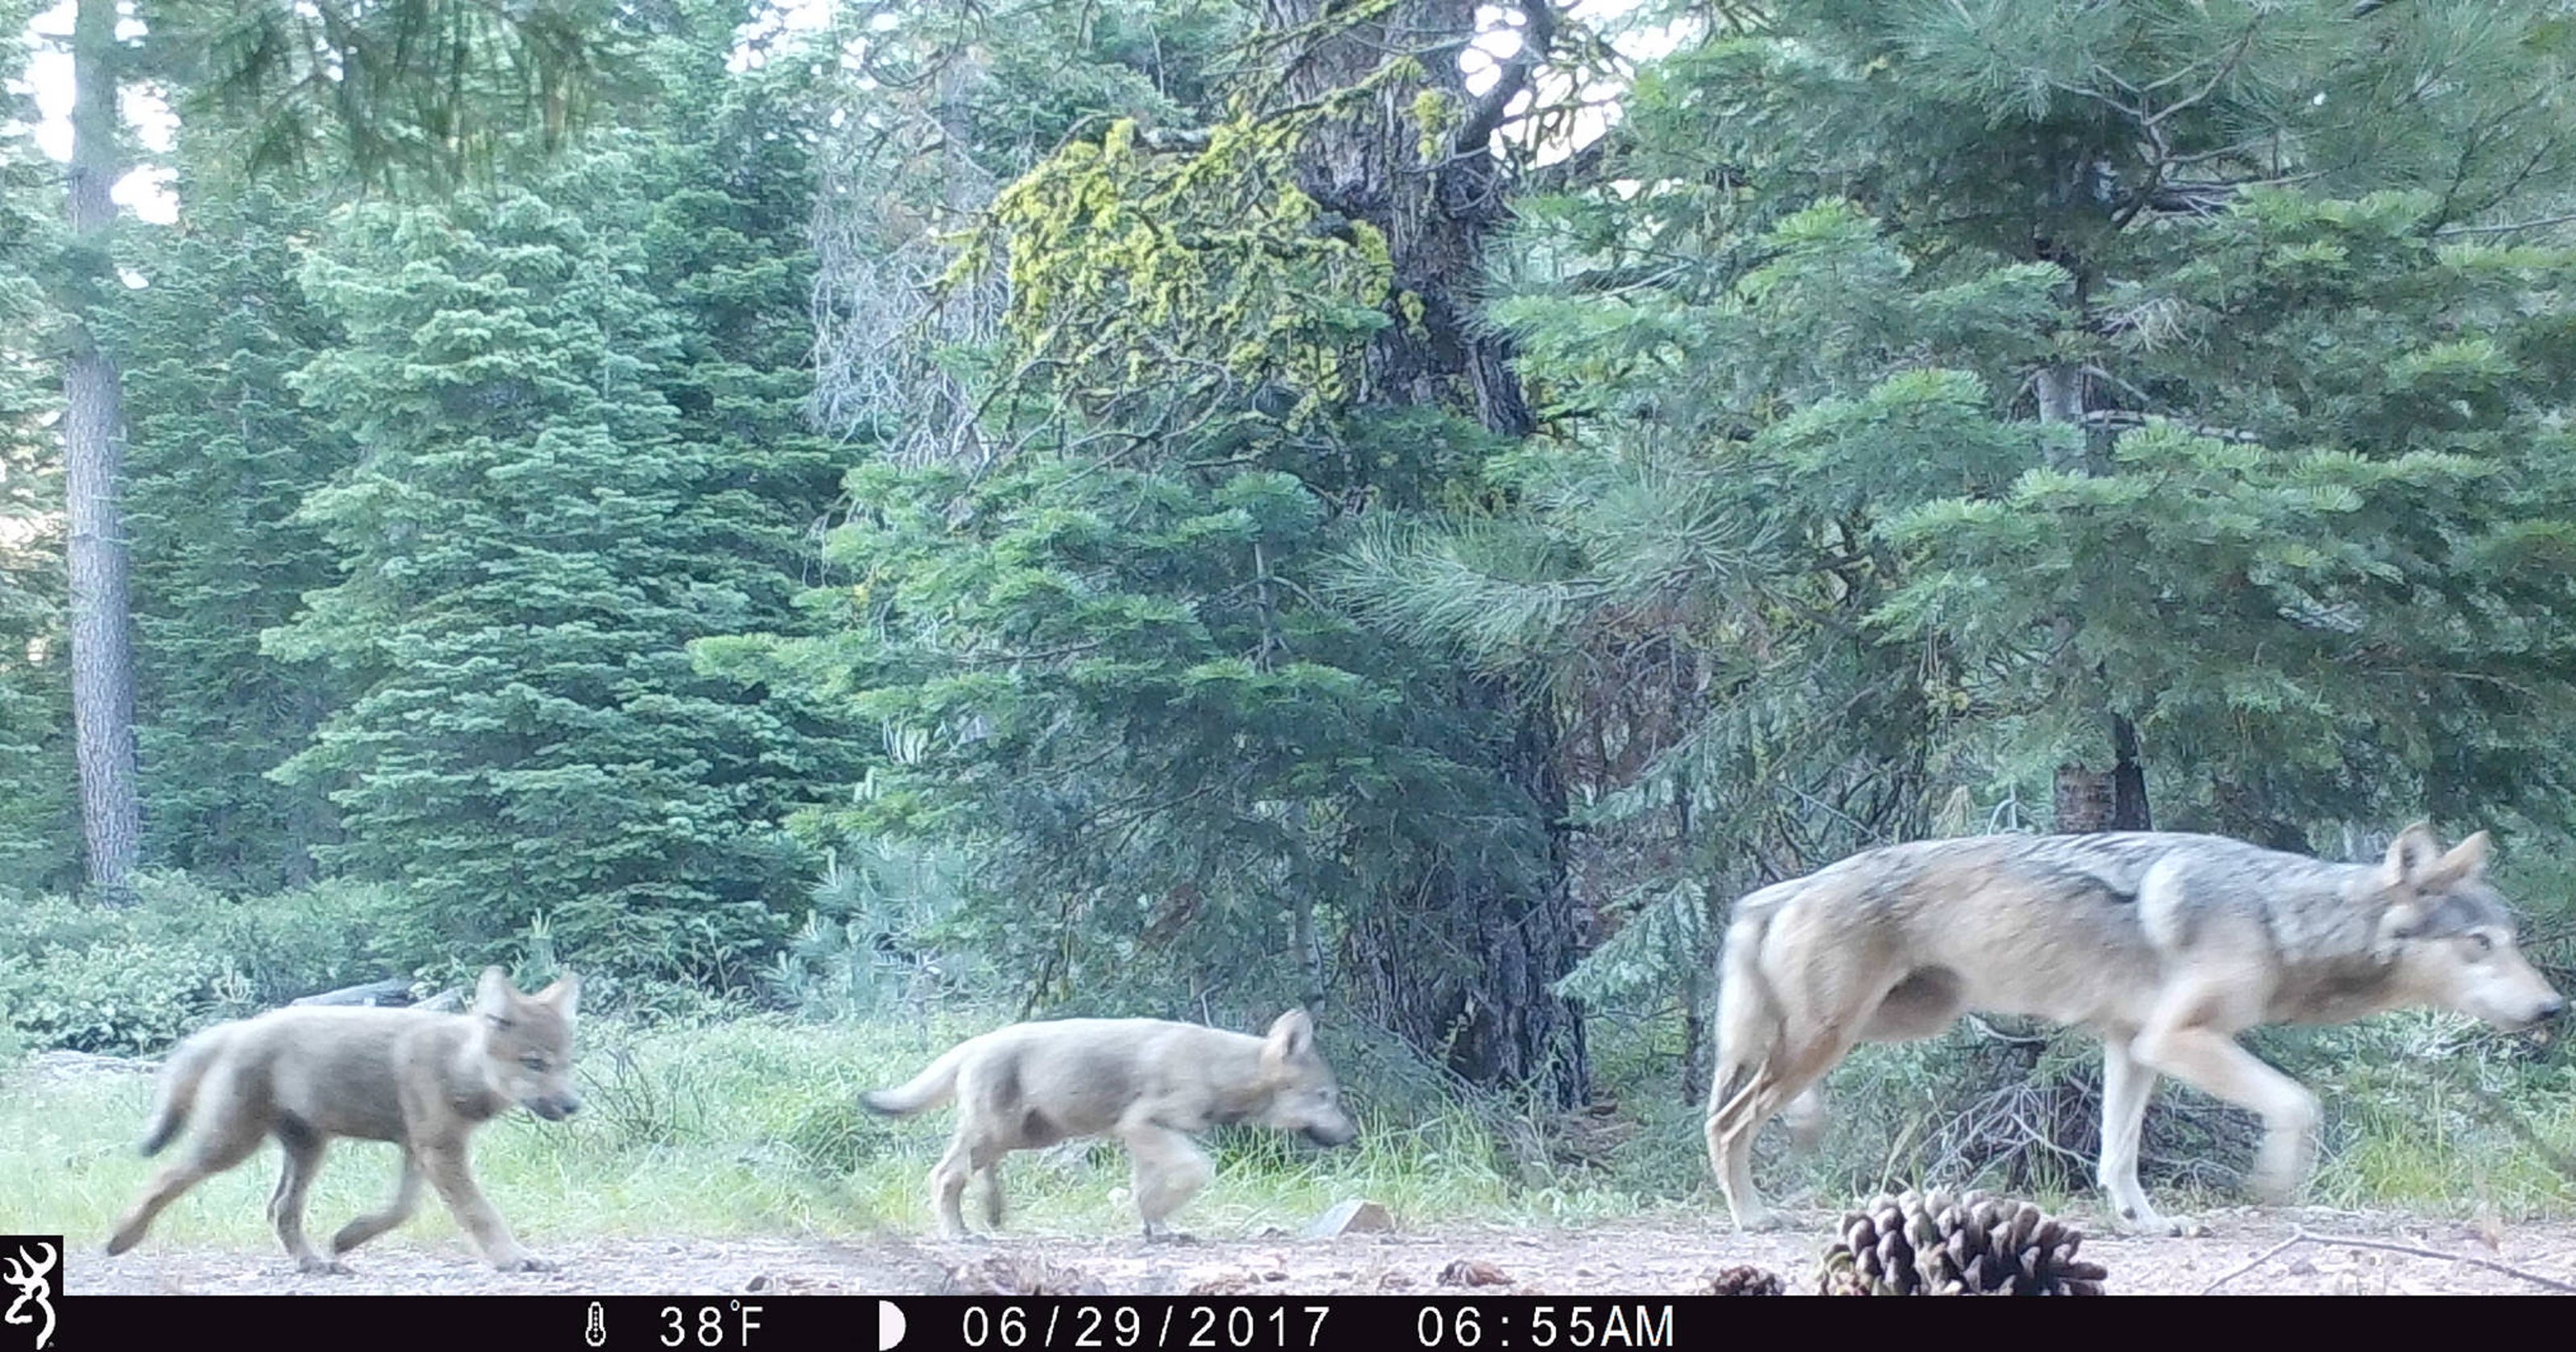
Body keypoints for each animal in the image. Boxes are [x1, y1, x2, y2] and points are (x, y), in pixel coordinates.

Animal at [104, 967, 583, 1273]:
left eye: (566, 1064)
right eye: (535, 1063)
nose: (574, 1104)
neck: (457, 1065)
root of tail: (237, 1028)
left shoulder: (418, 1149)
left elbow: (400, 1210)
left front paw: (348, 1238)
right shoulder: (439, 1150)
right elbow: (480, 1213)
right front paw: (514, 1258)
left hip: (308, 1149)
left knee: (280, 1208)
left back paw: (313, 1263)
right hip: (230, 1146)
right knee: (164, 1177)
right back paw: (122, 1238)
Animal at [861, 1009, 1359, 1242]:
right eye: (1327, 1098)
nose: (1353, 1136)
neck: (1220, 1070)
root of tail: (975, 1042)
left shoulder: (1141, 1138)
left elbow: (1147, 1193)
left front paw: (1158, 1231)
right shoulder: (1141, 1125)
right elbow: (1196, 1170)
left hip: (1019, 1138)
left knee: (968, 1176)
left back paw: (987, 1219)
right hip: (998, 1135)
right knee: (944, 1175)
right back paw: (958, 1235)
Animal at [1705, 823, 2564, 1236]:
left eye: (2512, 939)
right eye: (2479, 945)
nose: (2555, 1009)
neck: (2282, 919)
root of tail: (1785, 888)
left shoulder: (2131, 1045)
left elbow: (2117, 1158)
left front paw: (2145, 1224)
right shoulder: (2175, 1040)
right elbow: (2300, 1104)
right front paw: (2273, 1185)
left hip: (1898, 1022)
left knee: (1763, 1097)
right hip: (1837, 1033)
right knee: (1727, 1122)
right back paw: (1751, 1217)